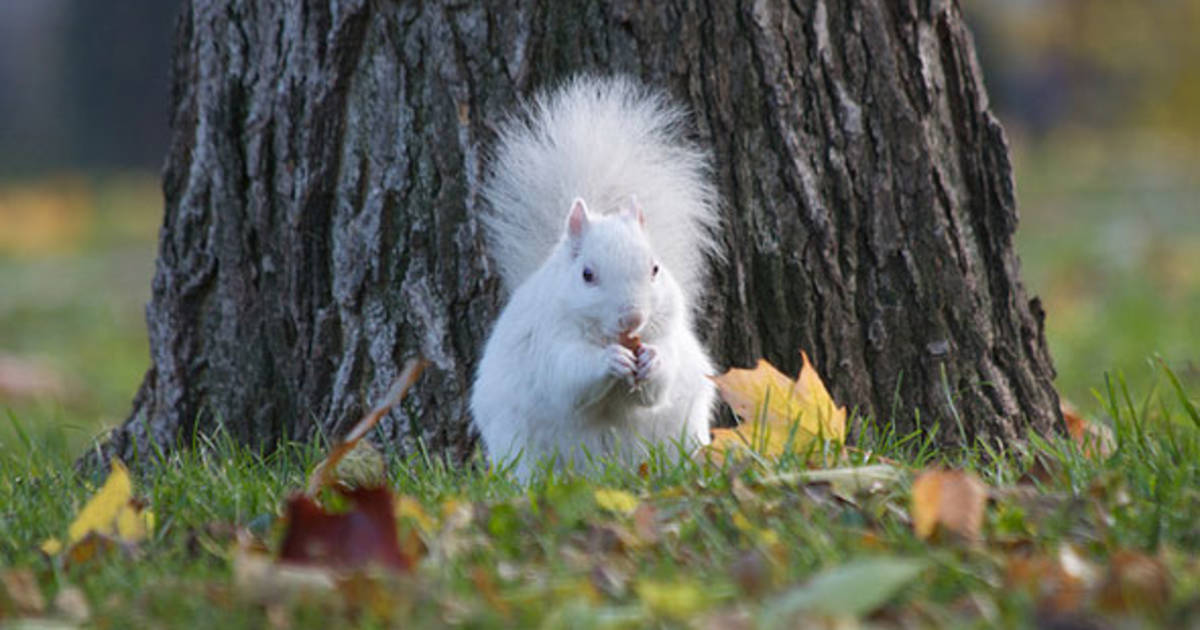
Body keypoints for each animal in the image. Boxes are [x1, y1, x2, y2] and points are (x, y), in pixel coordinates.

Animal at [470, 76, 721, 480]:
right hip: (521, 445)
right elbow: (567, 377)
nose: (633, 318)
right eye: (587, 275)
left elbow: (657, 387)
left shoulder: (665, 328)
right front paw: (609, 361)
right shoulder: (548, 340)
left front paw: (653, 360)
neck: (607, 335)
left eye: (655, 268)